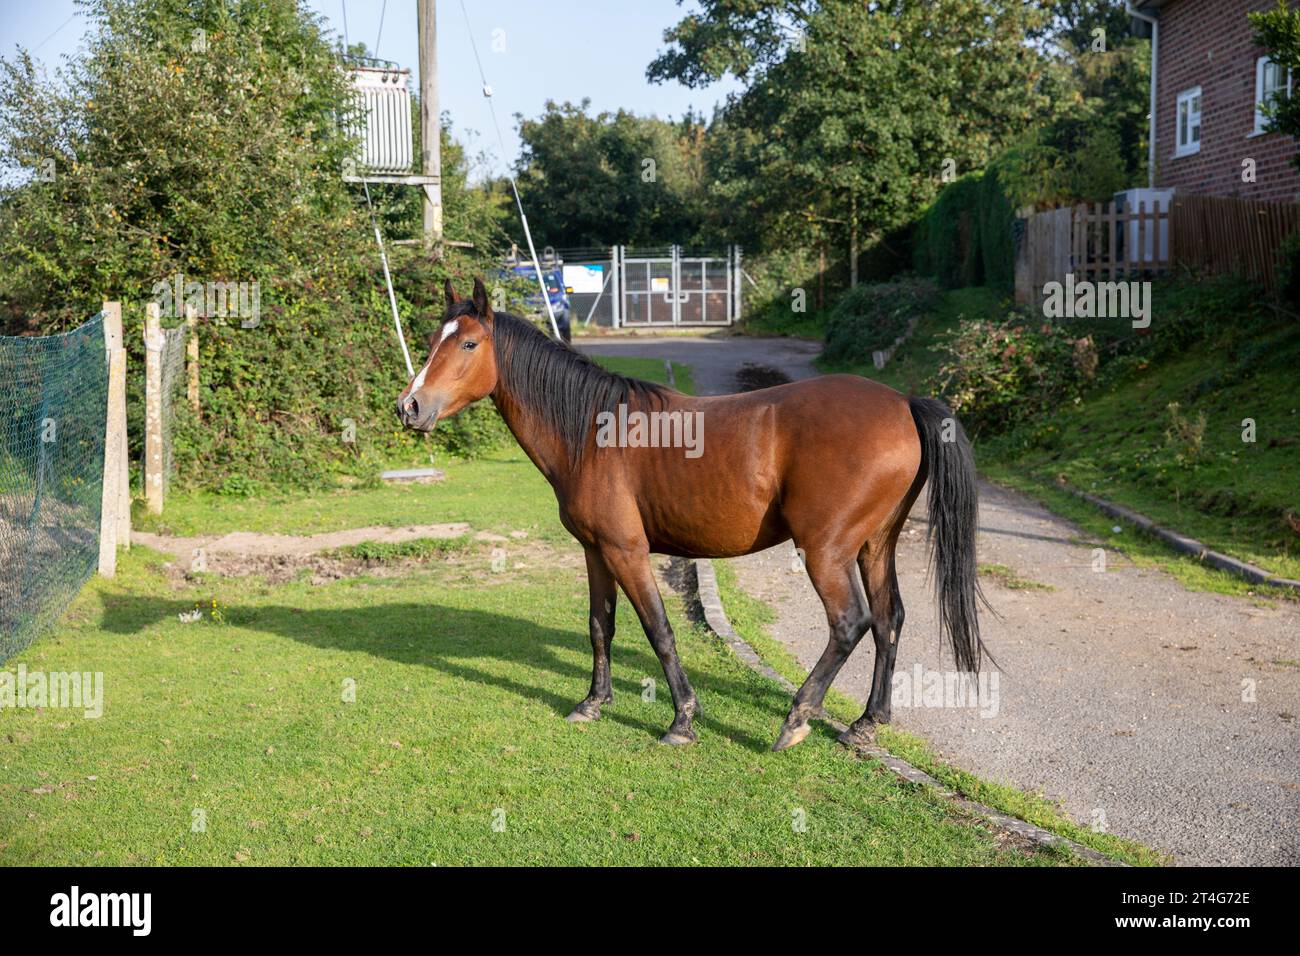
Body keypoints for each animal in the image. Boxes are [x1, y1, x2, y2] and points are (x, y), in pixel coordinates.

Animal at [397, 277, 987, 751]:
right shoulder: (595, 551)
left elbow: (658, 629)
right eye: (430, 343)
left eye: (469, 342)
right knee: (889, 619)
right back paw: (866, 722)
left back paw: (797, 717)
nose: (410, 407)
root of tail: (903, 402)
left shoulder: (627, 552)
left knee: (851, 624)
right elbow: (600, 625)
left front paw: (682, 719)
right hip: (874, 545)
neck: (591, 432)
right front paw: (593, 702)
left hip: (826, 551)